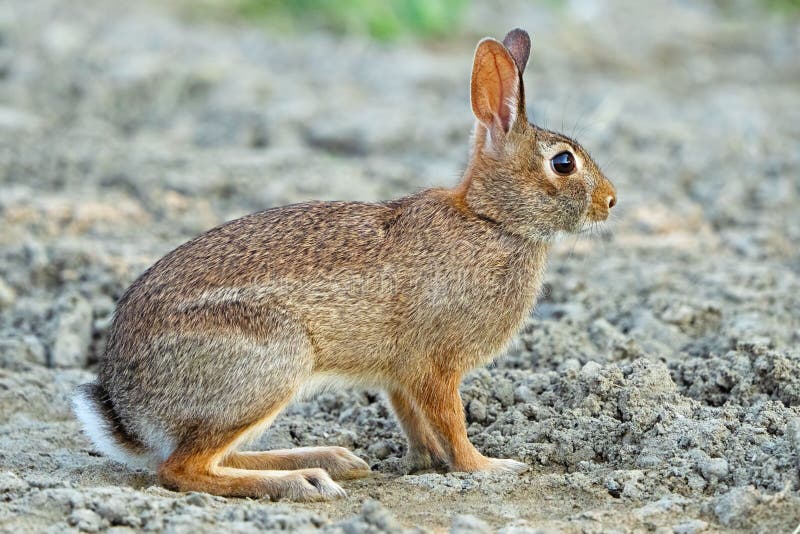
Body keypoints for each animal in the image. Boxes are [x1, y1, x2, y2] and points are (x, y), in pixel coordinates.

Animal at [72, 28, 616, 502]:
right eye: (563, 163)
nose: (611, 202)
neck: (491, 218)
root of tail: (128, 410)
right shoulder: (435, 364)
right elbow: (453, 422)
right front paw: (487, 467)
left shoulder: (401, 375)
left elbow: (415, 420)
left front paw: (427, 461)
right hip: (273, 360)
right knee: (182, 468)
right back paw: (303, 482)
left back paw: (331, 460)